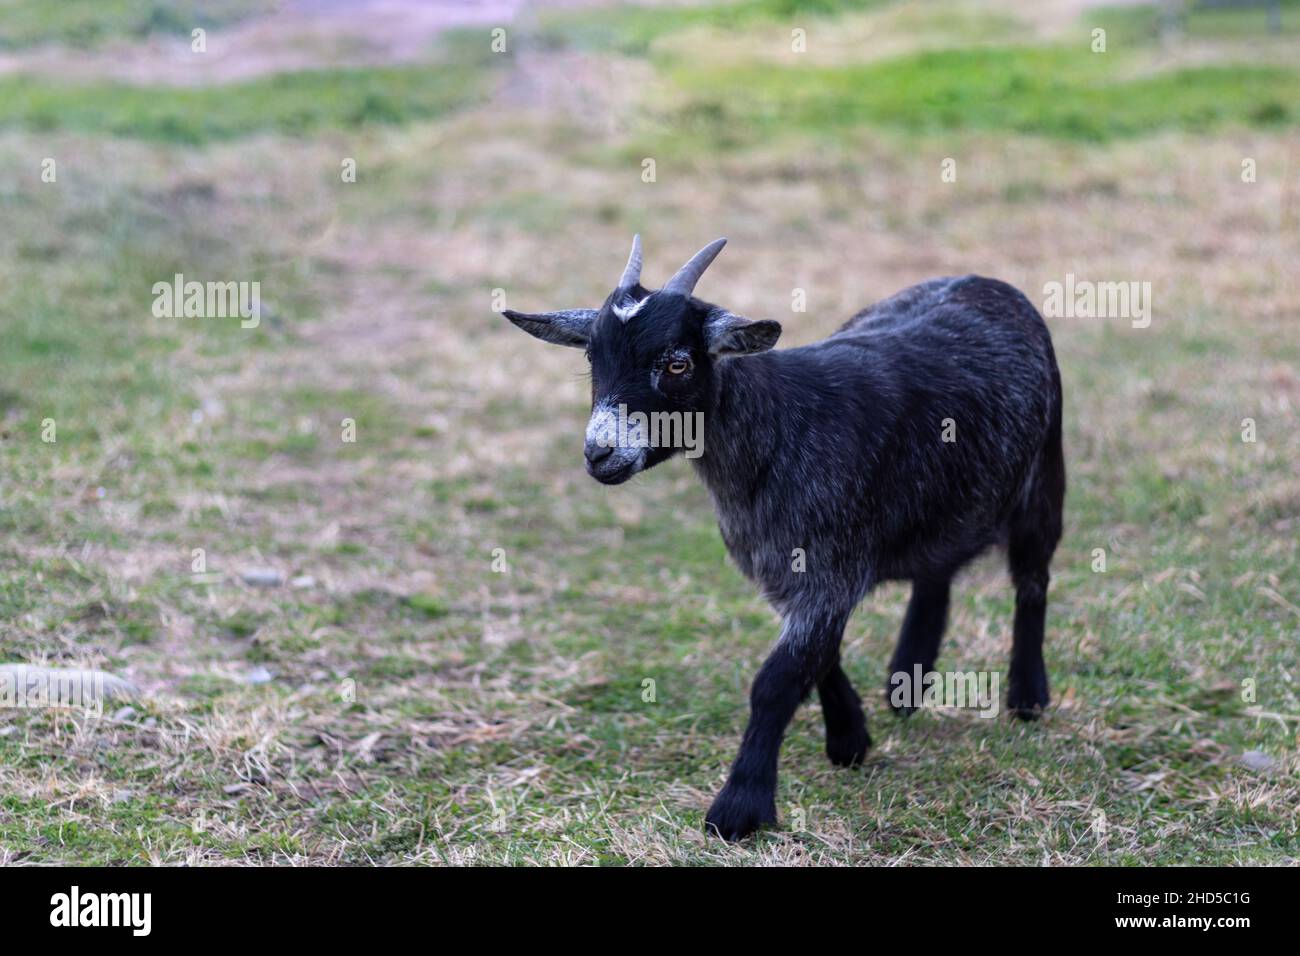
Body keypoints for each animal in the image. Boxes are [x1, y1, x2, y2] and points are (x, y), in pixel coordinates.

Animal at [502, 236, 1065, 841]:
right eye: (592, 357)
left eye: (676, 362)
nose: (599, 453)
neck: (777, 434)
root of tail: (986, 281)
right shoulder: (785, 572)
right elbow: (820, 657)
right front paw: (849, 738)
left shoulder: (828, 571)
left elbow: (776, 681)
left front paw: (739, 806)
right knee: (936, 569)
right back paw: (906, 680)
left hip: (1043, 481)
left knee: (1032, 581)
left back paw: (1027, 696)